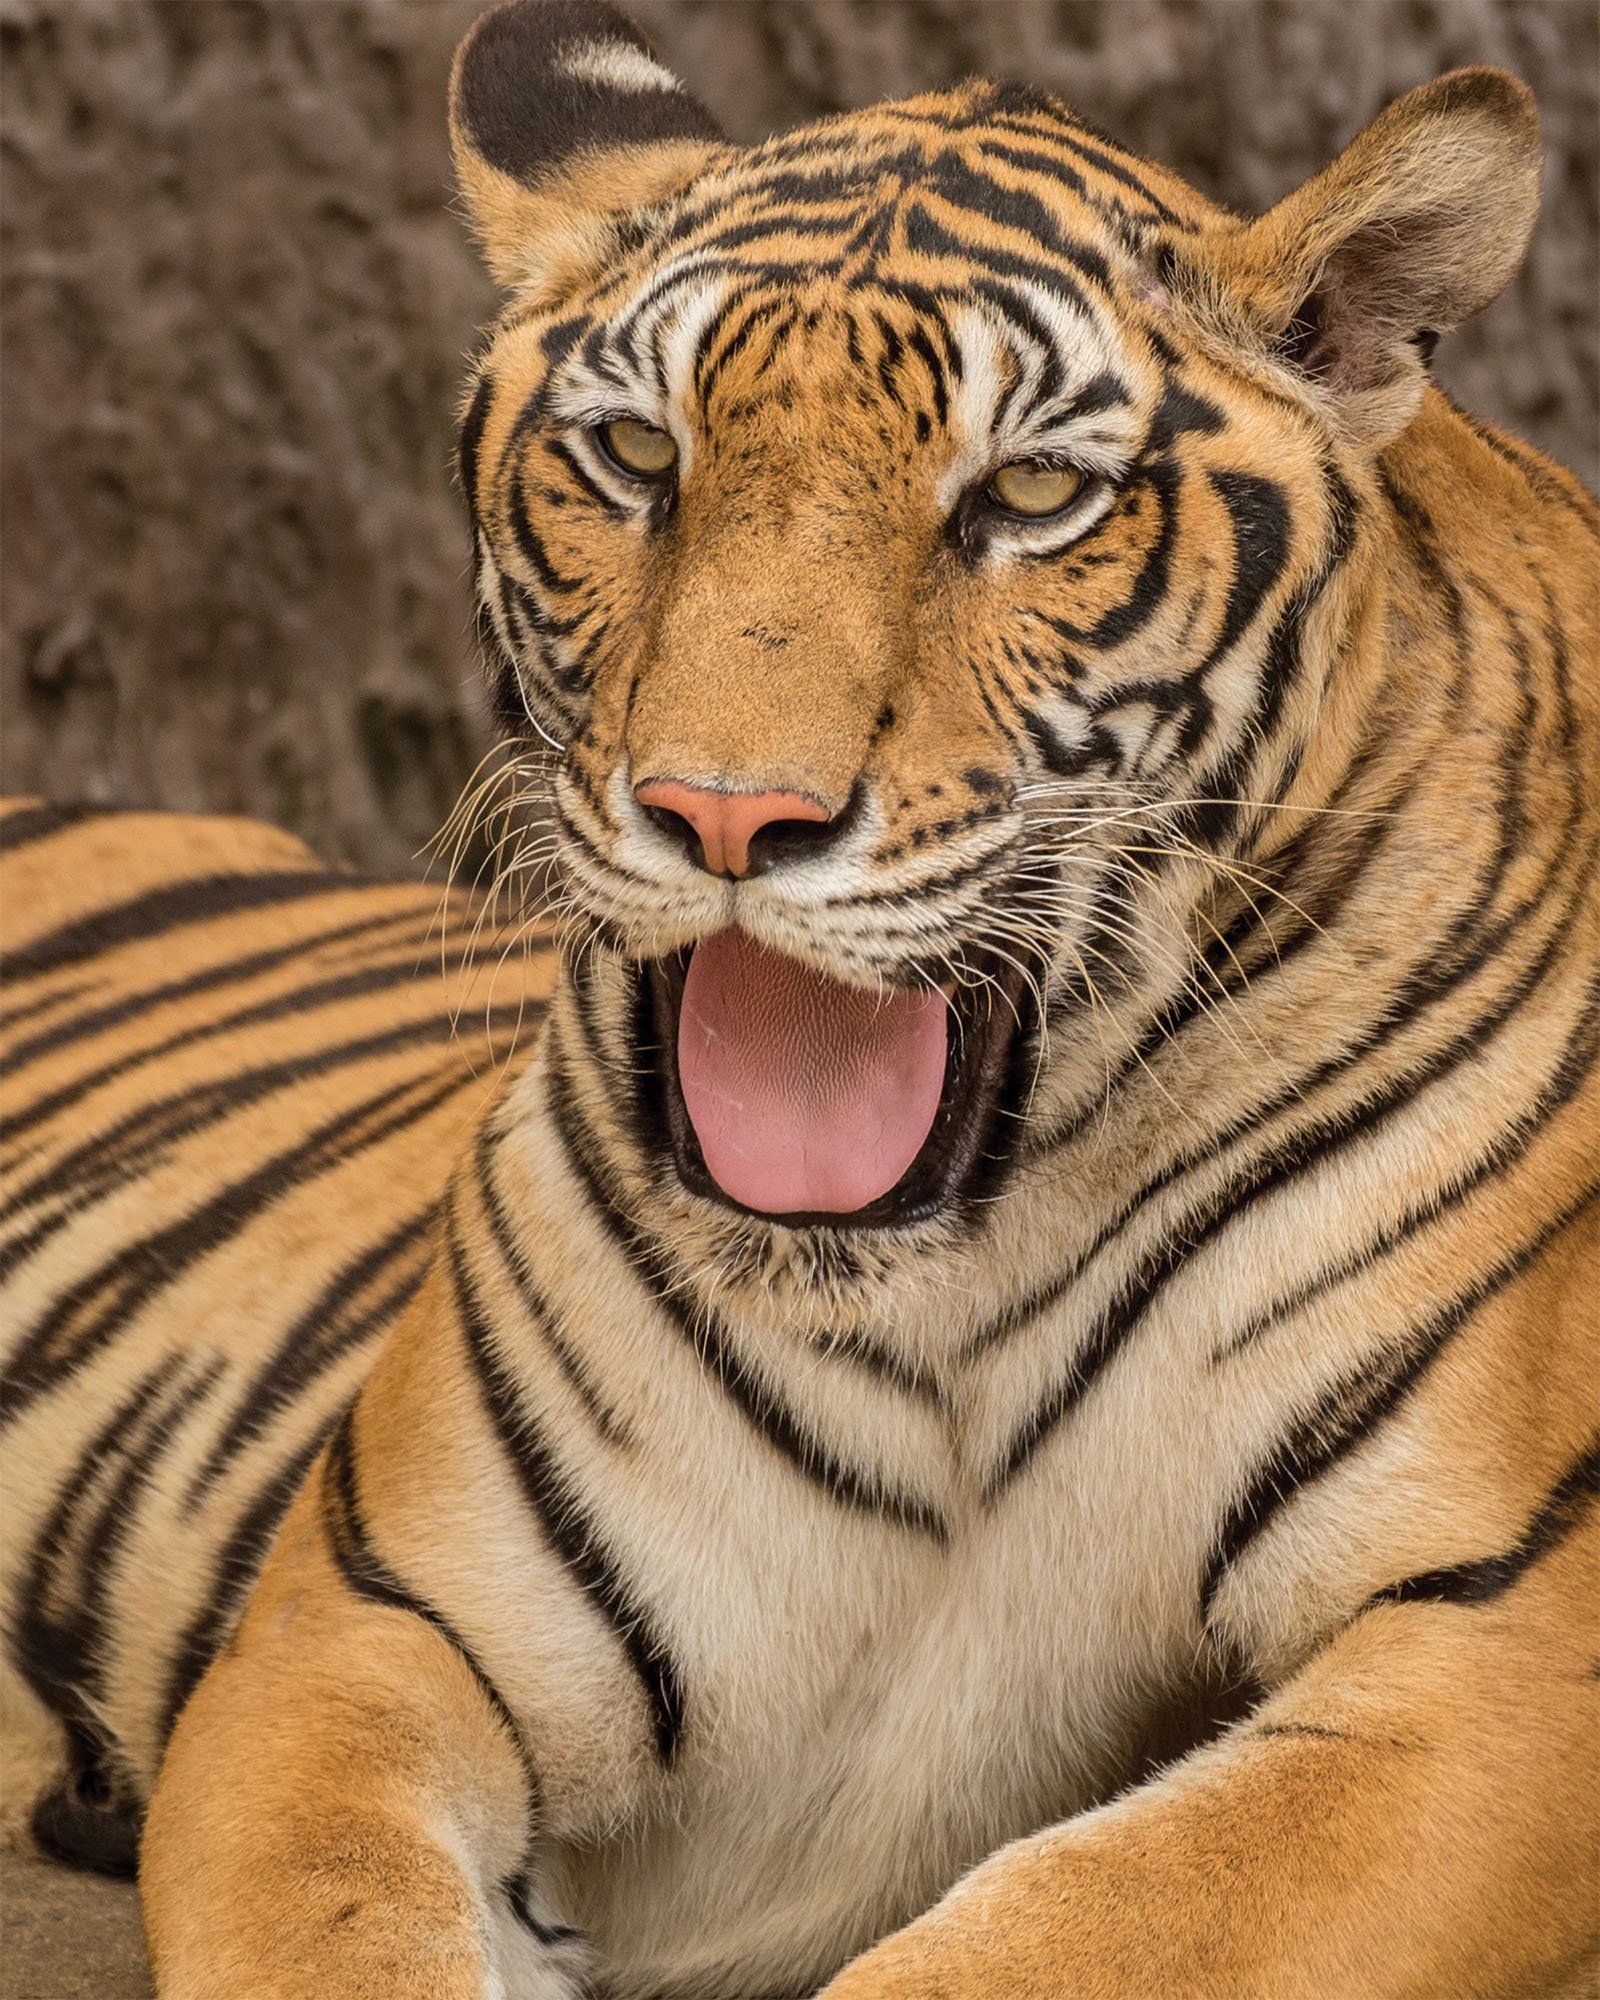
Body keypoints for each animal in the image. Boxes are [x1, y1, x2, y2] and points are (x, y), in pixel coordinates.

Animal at [2, 1, 1596, 1996]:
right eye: (632, 455)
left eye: (1031, 494)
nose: (725, 813)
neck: (948, 1313)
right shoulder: (373, 1628)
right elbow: (342, 1929)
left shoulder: (1501, 1651)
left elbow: (1071, 1928)